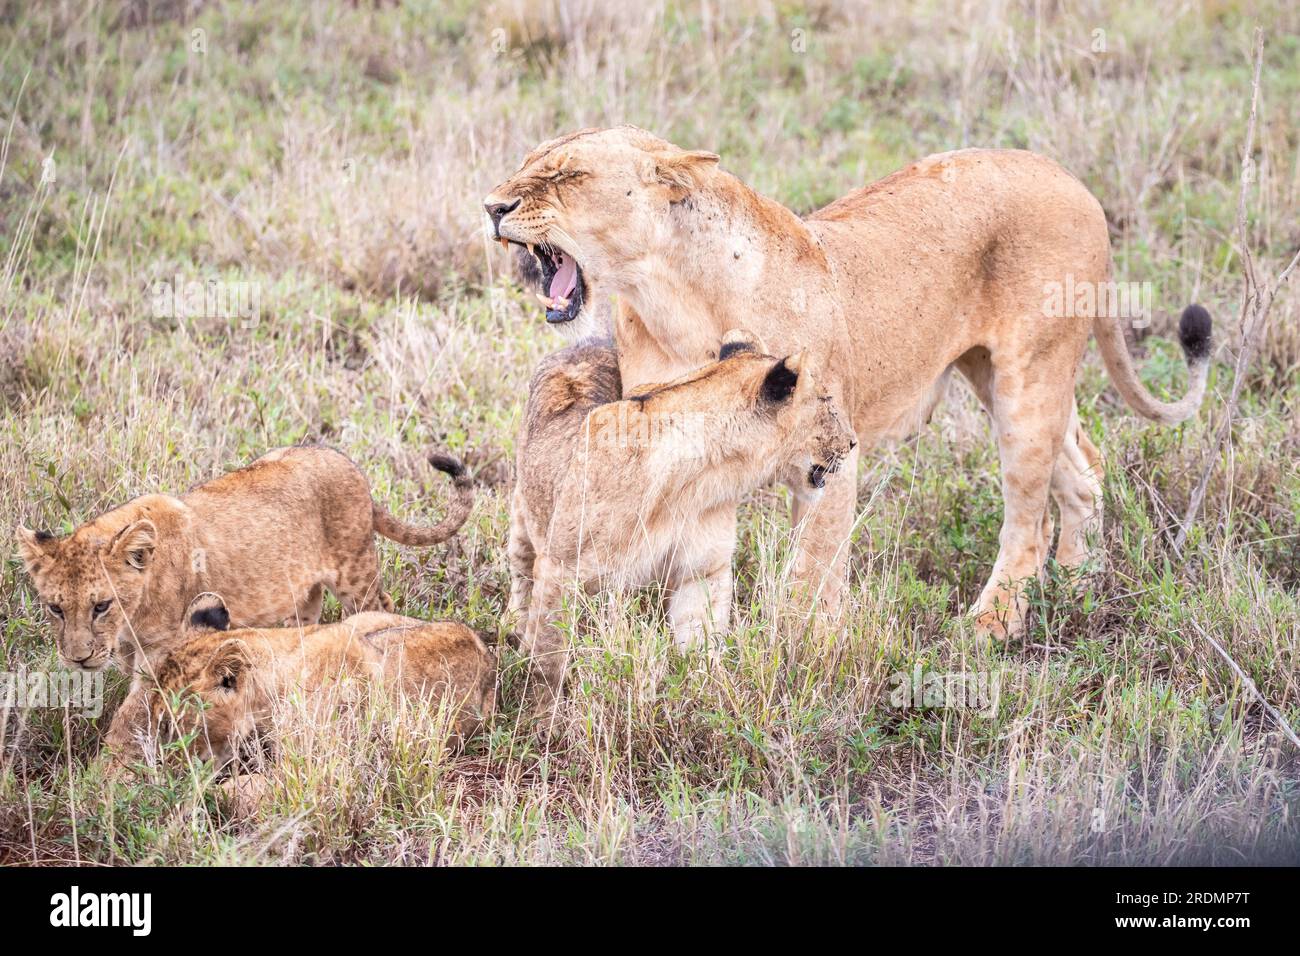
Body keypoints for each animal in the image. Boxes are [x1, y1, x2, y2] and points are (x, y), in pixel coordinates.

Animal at [16, 445, 473, 681]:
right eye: (55, 608)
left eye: (101, 606)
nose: (77, 658)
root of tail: (343, 460)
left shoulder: (162, 647)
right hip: (301, 591)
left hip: (355, 573)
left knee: (381, 605)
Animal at [485, 126, 1213, 637]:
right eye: (528, 162)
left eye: (568, 174)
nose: (493, 206)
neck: (672, 292)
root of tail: (1070, 177)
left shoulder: (828, 451)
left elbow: (810, 572)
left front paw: (798, 654)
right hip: (1002, 377)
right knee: (1083, 469)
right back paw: (1080, 582)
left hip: (1028, 380)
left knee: (1026, 520)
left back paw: (992, 625)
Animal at [507, 330, 855, 712]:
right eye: (827, 402)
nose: (852, 443)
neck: (696, 481)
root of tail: (588, 340)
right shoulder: (562, 569)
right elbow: (548, 656)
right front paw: (542, 713)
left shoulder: (701, 570)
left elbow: (699, 639)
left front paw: (710, 699)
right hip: (524, 519)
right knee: (522, 579)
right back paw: (514, 632)